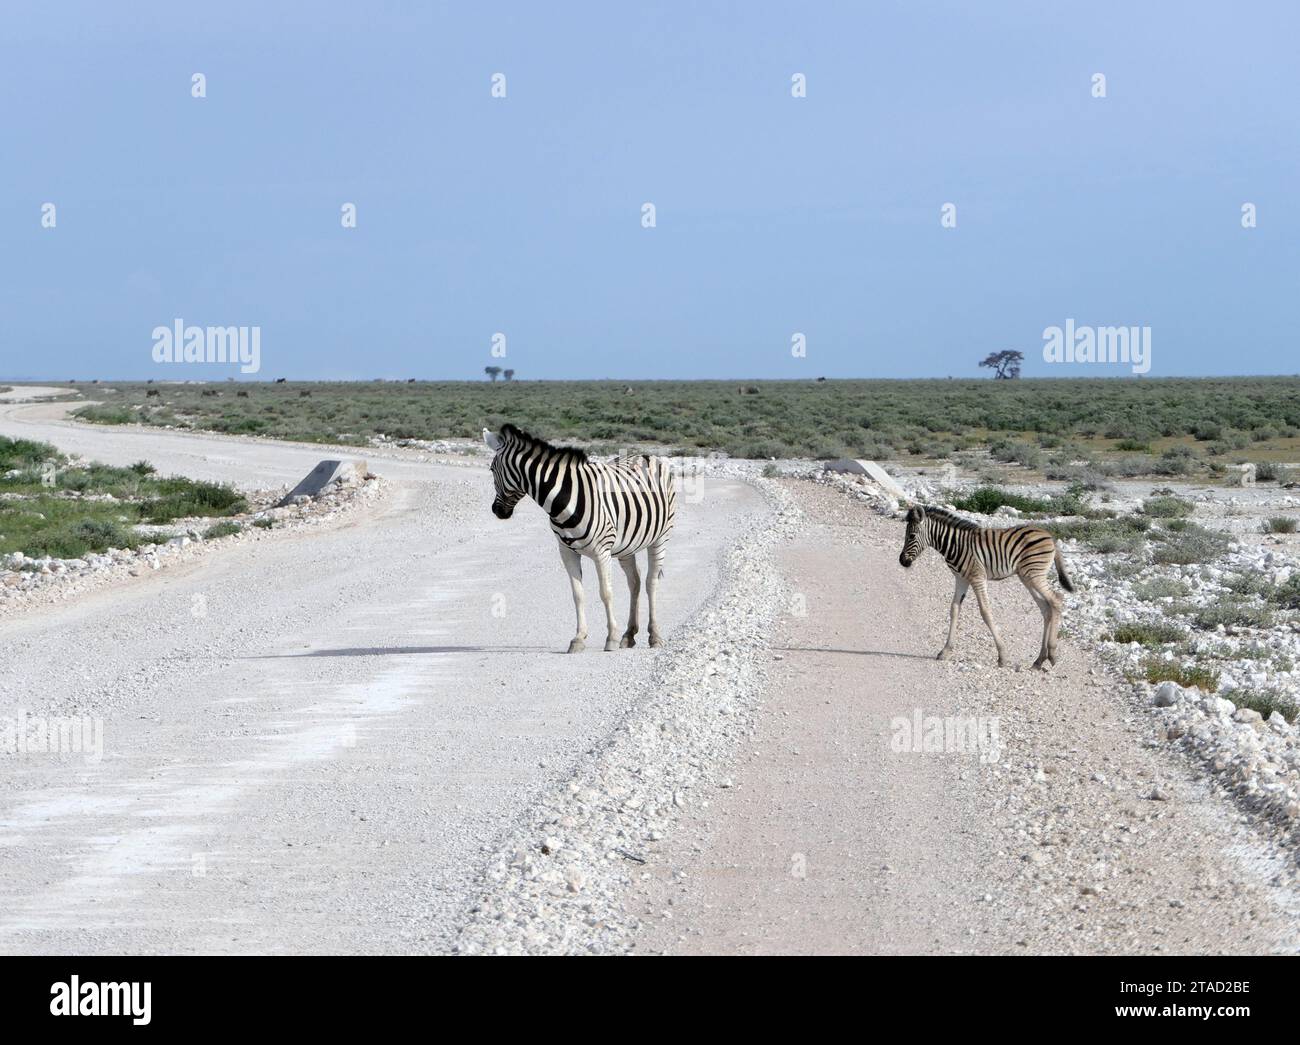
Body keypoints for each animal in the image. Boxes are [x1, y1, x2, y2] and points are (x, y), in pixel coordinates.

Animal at [483, 424, 677, 653]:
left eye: (491, 469)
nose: (497, 511)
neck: (563, 500)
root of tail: (647, 455)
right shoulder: (567, 552)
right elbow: (578, 594)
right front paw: (578, 639)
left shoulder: (602, 551)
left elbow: (605, 593)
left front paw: (611, 637)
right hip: (627, 545)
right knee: (635, 582)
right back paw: (629, 635)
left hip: (660, 537)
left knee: (650, 582)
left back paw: (654, 636)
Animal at [898, 504, 1074, 669]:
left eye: (911, 536)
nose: (902, 561)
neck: (954, 544)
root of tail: (1049, 536)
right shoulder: (961, 579)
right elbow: (954, 609)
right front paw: (945, 651)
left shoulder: (977, 577)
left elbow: (985, 611)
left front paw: (1002, 656)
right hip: (1027, 576)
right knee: (1046, 608)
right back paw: (1039, 660)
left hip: (1034, 574)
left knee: (1056, 600)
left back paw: (1052, 654)